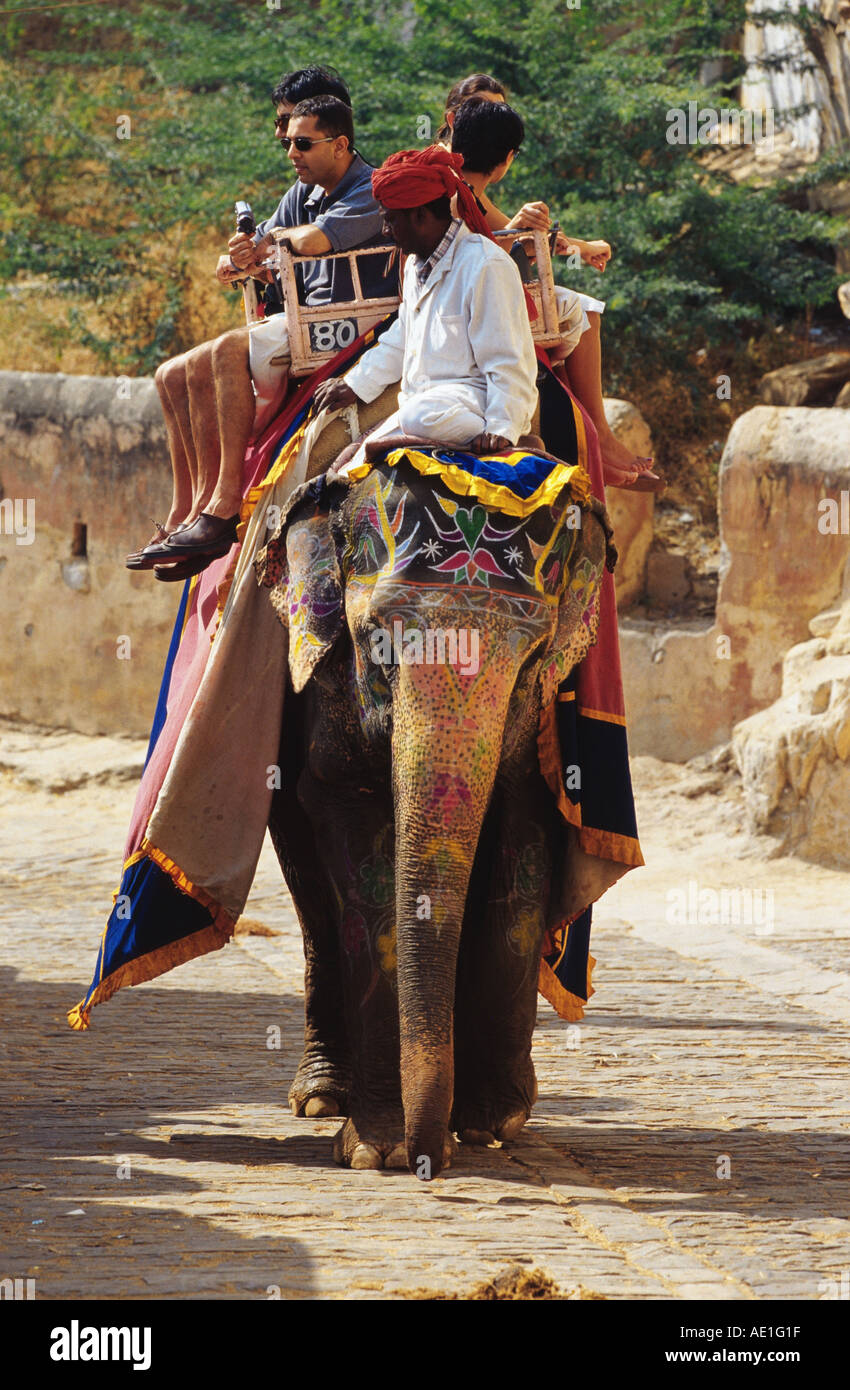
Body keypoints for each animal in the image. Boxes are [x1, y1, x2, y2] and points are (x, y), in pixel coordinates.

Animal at [255, 447, 613, 1178]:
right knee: (309, 890)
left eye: (535, 656)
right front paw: (379, 1149)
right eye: (375, 643)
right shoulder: (329, 692)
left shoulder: (542, 723)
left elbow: (524, 838)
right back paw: (320, 1099)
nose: (431, 1158)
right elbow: (357, 855)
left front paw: (491, 1125)